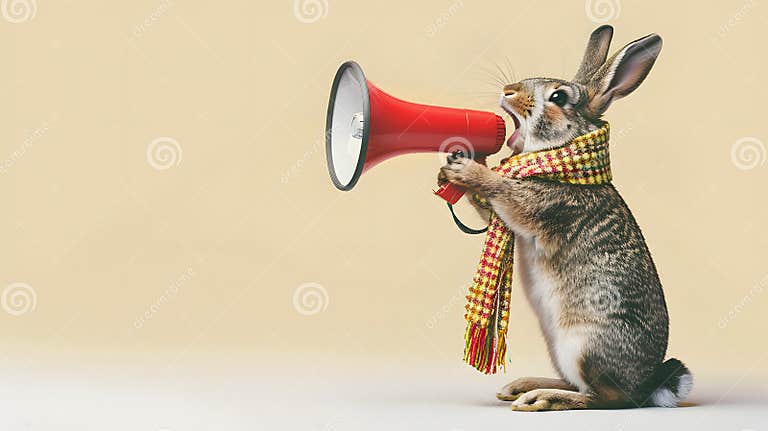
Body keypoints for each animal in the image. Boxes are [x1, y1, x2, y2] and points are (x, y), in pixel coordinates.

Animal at [438, 26, 692, 411]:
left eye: (557, 96)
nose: (509, 90)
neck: (561, 157)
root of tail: (646, 387)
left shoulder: (545, 207)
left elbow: (506, 194)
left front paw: (467, 170)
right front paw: (451, 169)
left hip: (583, 347)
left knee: (601, 399)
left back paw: (539, 398)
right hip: (558, 348)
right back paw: (522, 385)